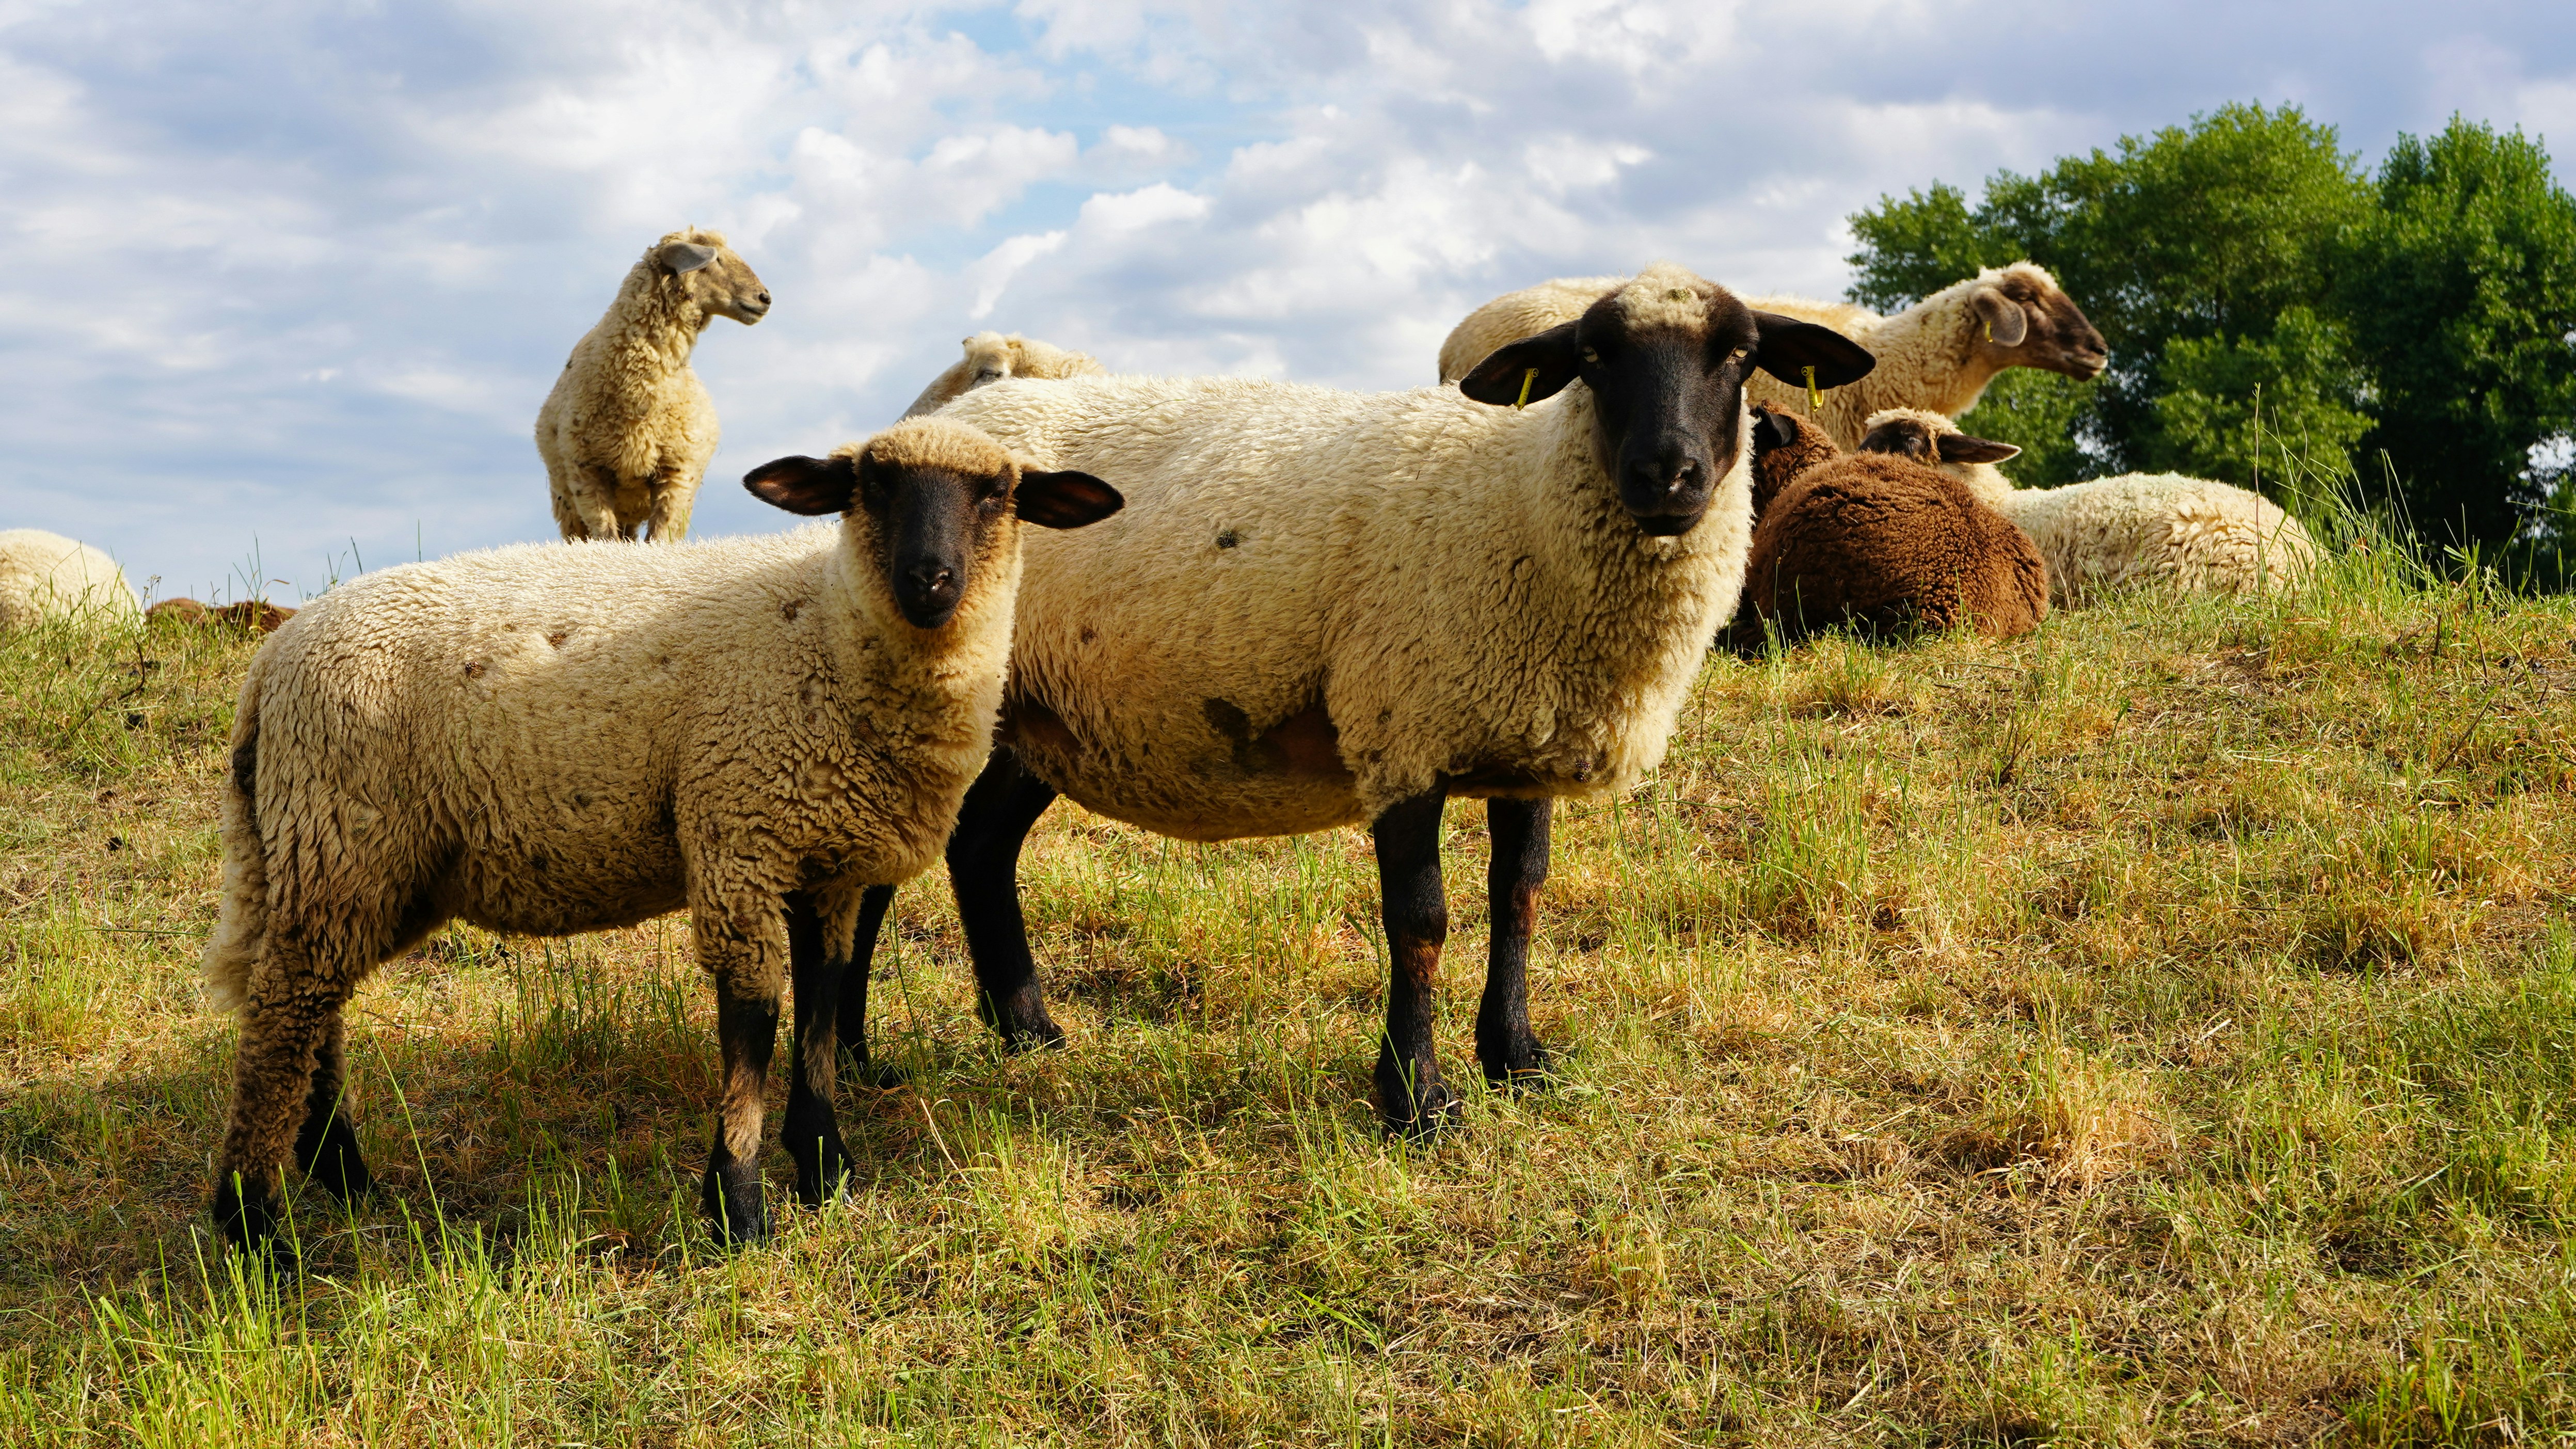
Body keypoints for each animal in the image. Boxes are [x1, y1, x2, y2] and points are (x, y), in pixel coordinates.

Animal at [198, 417, 1123, 1253]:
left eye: (997, 492)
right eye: (872, 483)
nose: (929, 579)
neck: (829, 630)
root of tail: (271, 663)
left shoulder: (826, 863)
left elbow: (822, 1003)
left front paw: (824, 1163)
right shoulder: (736, 834)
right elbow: (753, 1019)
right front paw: (739, 1208)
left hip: (360, 862)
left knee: (313, 1006)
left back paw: (342, 1178)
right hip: (340, 838)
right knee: (283, 1013)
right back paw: (256, 1227)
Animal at [535, 228, 771, 544]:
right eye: (715, 259)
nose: (765, 298)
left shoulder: (676, 475)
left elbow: (659, 539)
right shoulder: (588, 472)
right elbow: (606, 537)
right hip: (568, 503)